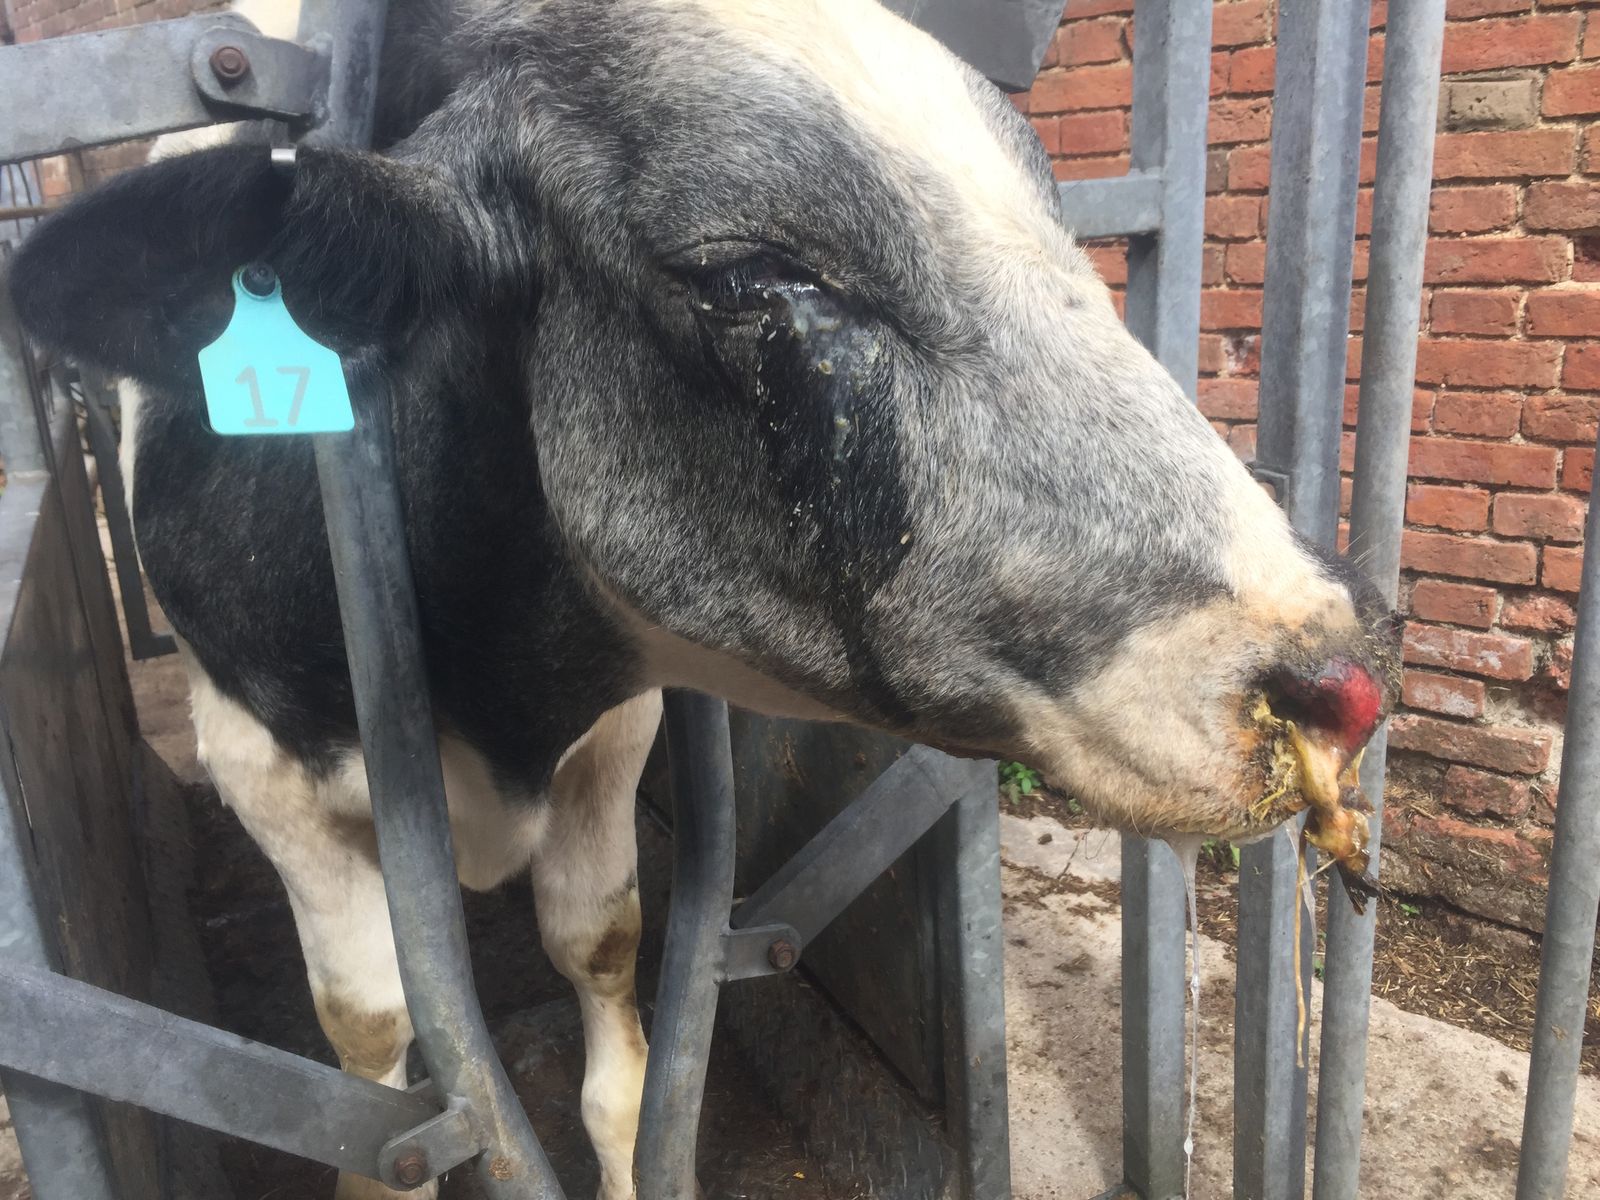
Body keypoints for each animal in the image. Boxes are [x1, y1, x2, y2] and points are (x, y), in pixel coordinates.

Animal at [9, 1, 1400, 1197]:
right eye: (745, 276)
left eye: (1067, 243)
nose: (1334, 682)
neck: (488, 712)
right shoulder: (260, 766)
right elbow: (379, 1055)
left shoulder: (610, 735)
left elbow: (609, 998)